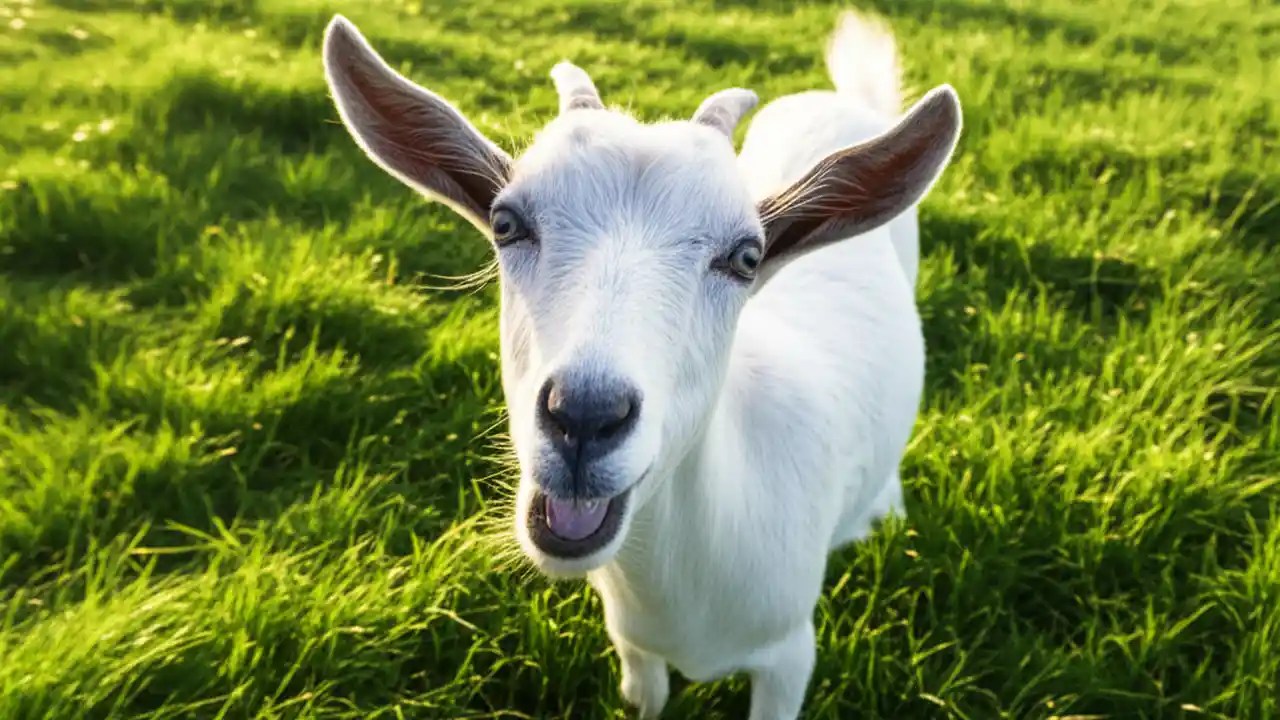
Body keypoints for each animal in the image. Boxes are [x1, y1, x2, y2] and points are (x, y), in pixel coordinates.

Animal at [322, 10, 960, 719]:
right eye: (506, 222)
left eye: (745, 257)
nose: (584, 417)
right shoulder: (632, 644)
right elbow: (648, 697)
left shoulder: (790, 655)